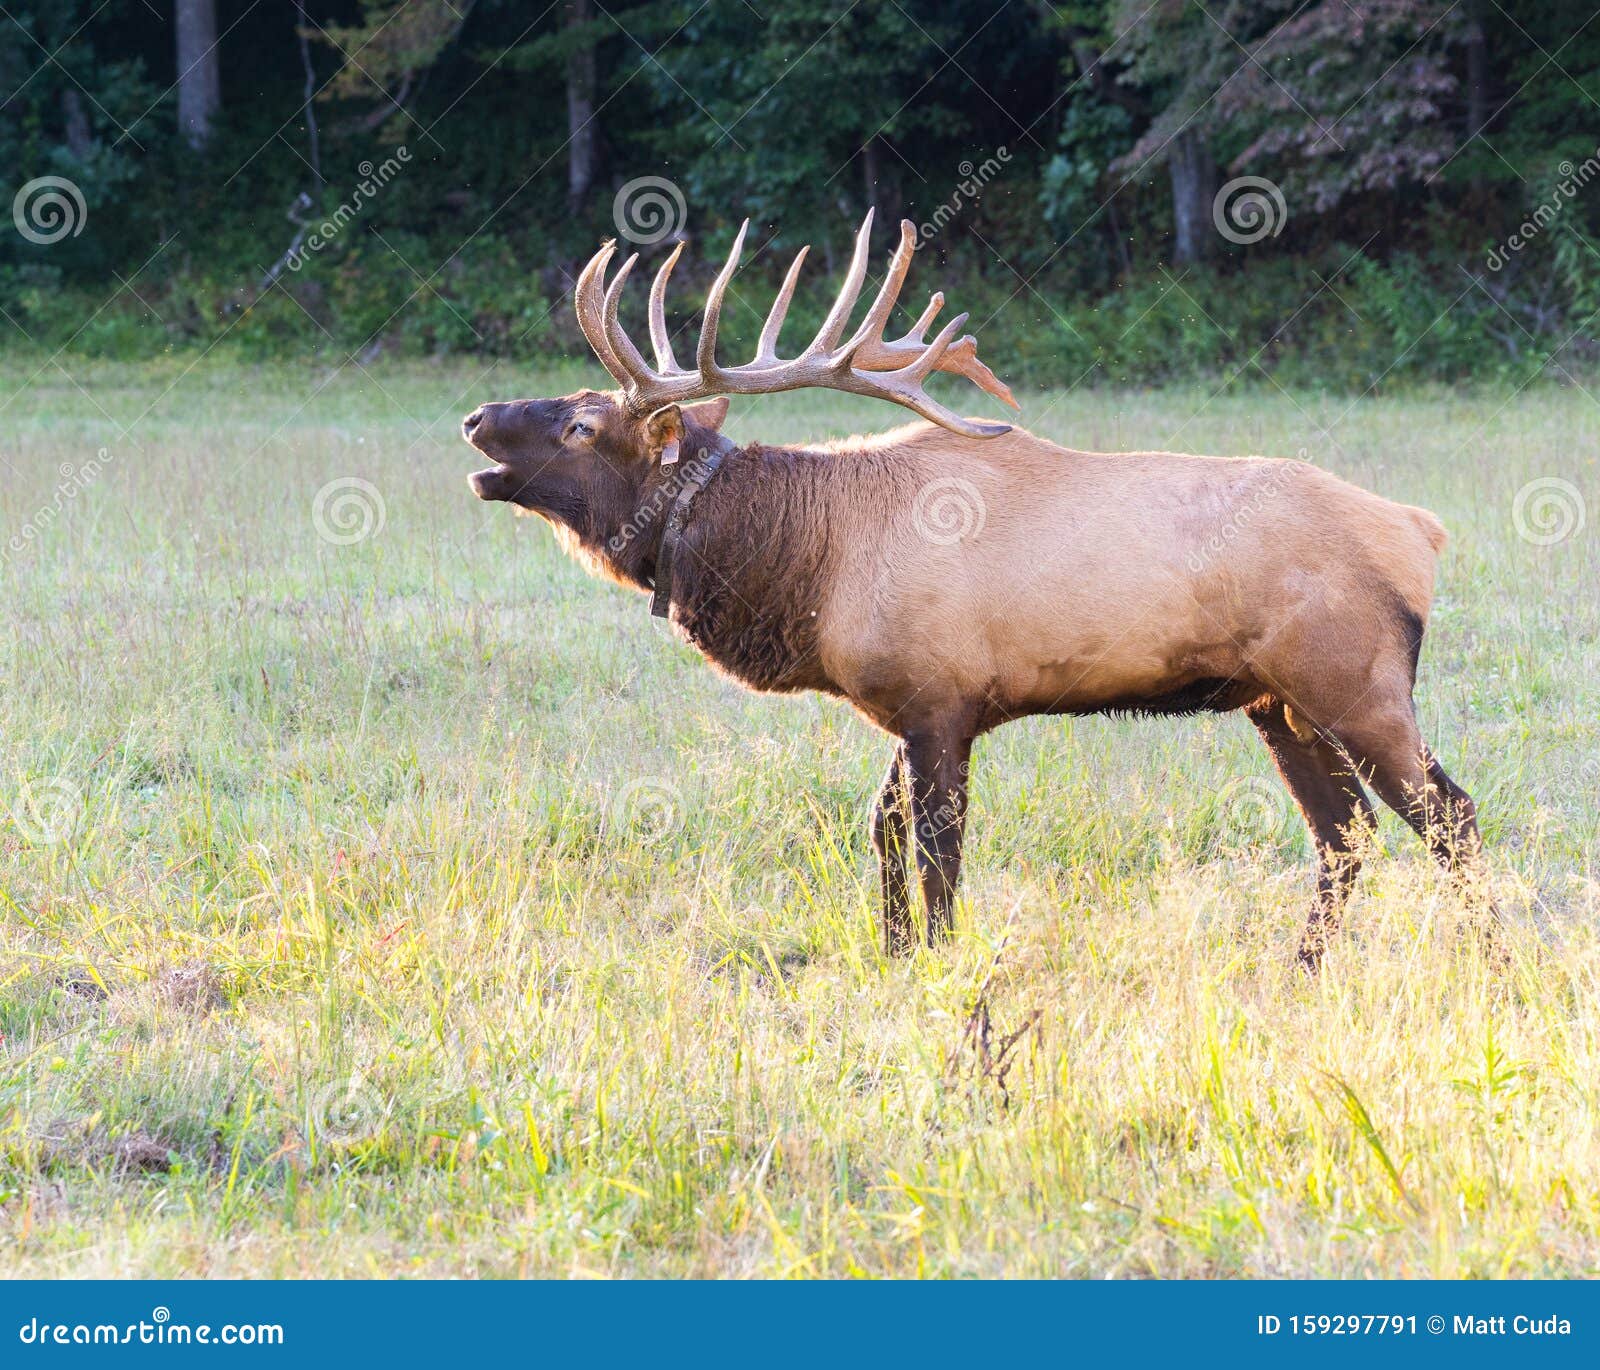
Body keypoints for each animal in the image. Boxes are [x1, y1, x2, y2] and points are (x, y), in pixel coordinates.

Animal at [461, 210, 1487, 967]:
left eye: (582, 426)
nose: (476, 418)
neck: (811, 568)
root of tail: (1422, 532)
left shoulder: (944, 702)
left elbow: (938, 857)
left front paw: (941, 965)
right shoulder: (905, 705)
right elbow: (881, 834)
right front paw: (894, 958)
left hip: (1357, 684)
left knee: (1451, 817)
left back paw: (1492, 969)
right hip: (1278, 702)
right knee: (1345, 836)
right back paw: (1301, 971)